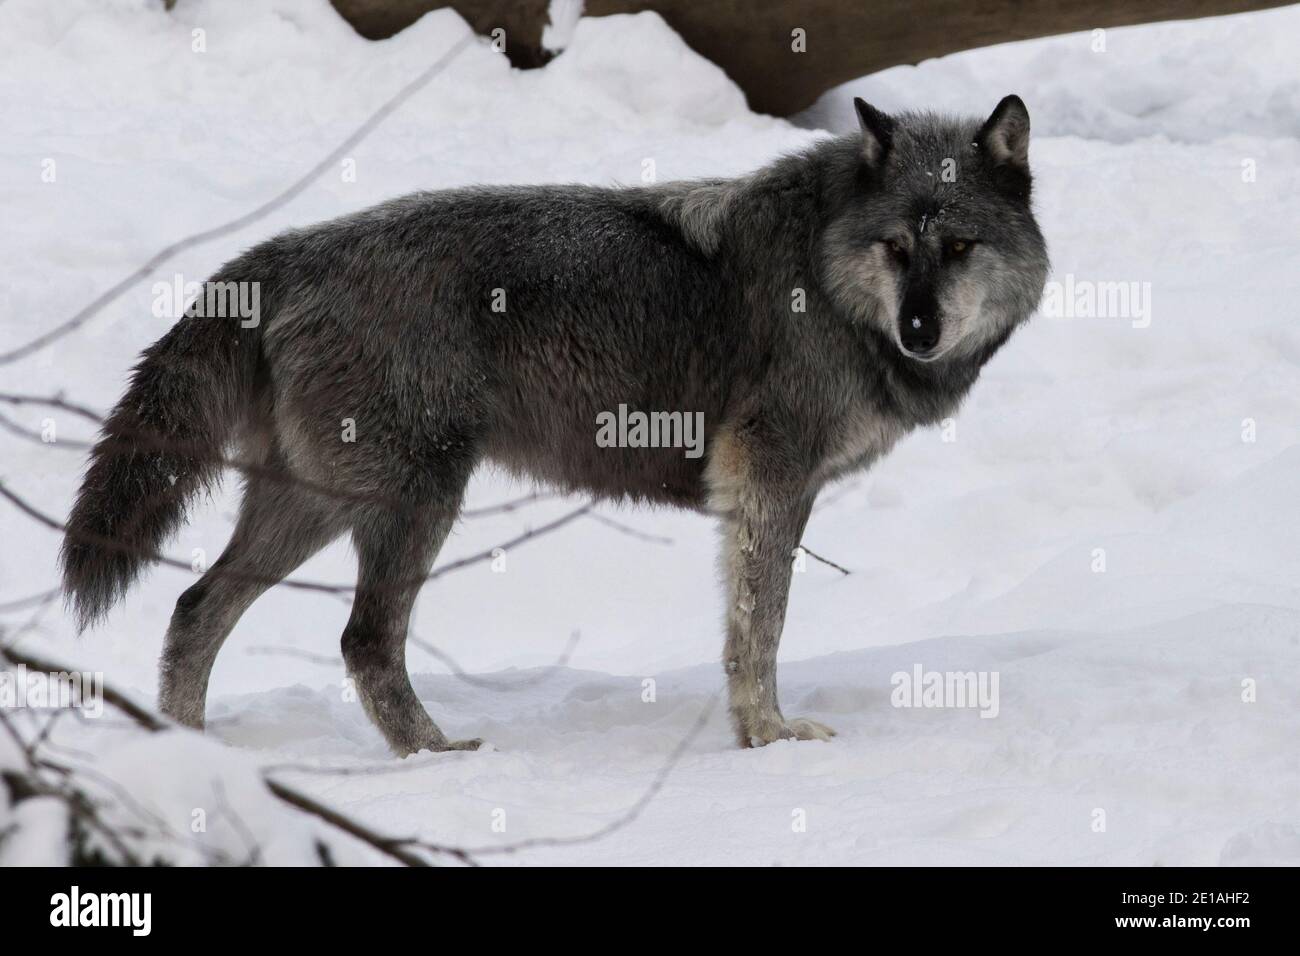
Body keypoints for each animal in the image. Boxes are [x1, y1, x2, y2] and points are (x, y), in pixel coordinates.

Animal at [61, 96, 1048, 753]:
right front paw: (768, 737)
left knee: (195, 609)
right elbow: (759, 625)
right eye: (897, 247)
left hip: (315, 503)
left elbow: (751, 625)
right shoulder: (768, 477)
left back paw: (195, 759)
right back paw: (433, 755)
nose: (919, 329)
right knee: (362, 639)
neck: (827, 271)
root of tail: (277, 255)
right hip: (413, 499)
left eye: (960, 246)